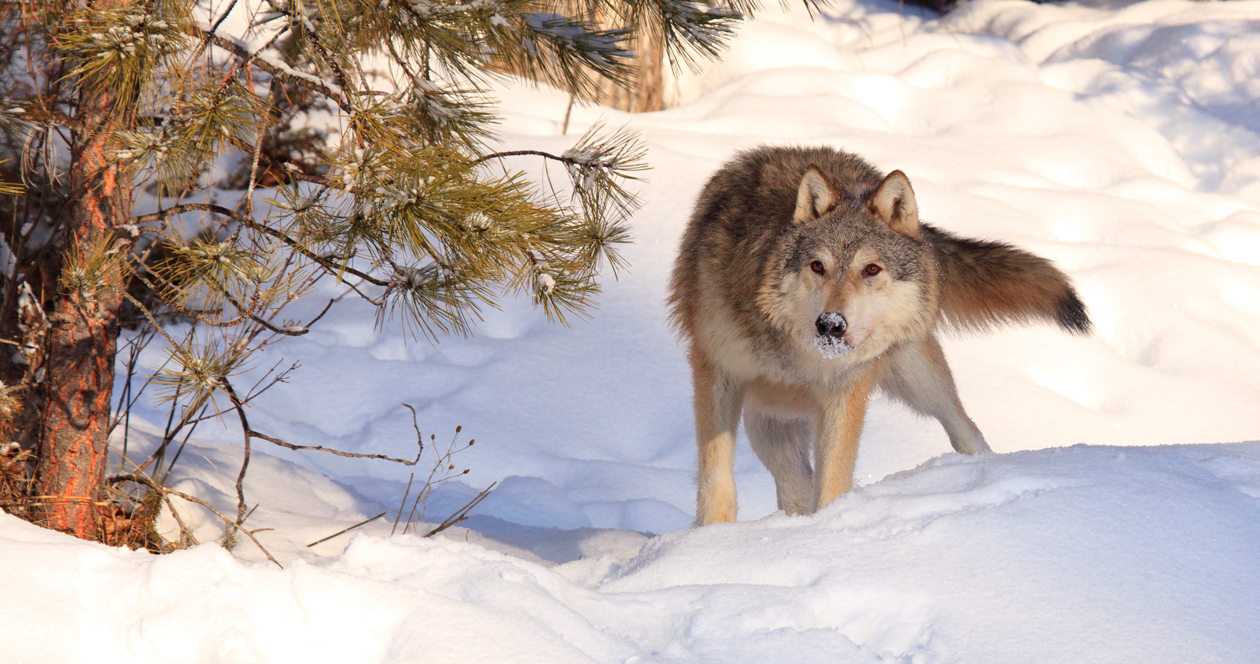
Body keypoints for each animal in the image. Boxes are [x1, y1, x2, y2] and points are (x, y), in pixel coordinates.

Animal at [668, 146, 1091, 526]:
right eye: (818, 266)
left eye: (871, 269)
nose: (831, 324)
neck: (797, 356)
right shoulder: (716, 370)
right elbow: (716, 475)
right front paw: (712, 536)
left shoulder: (845, 391)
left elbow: (834, 480)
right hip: (769, 426)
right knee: (795, 486)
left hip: (919, 380)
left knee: (966, 429)